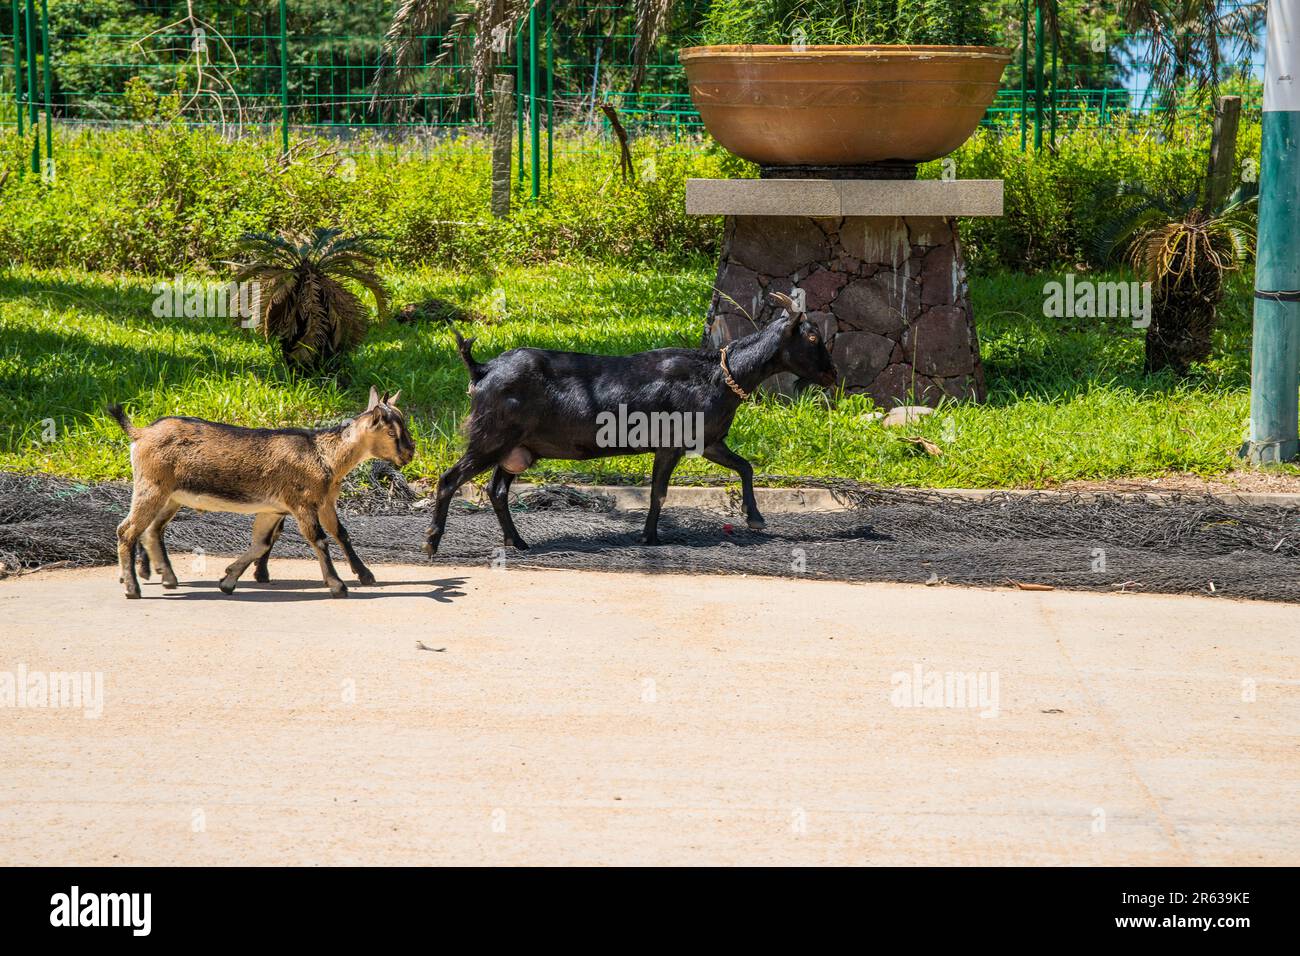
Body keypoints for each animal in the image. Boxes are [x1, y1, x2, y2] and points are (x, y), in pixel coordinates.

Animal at [108, 388, 414, 599]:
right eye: (391, 433)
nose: (409, 453)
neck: (323, 455)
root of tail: (140, 434)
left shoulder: (293, 507)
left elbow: (266, 543)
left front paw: (228, 580)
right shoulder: (302, 503)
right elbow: (320, 540)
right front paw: (338, 586)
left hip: (170, 496)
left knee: (151, 530)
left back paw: (165, 577)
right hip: (152, 487)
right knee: (127, 530)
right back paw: (133, 587)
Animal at [424, 291, 836, 555]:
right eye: (813, 336)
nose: (832, 374)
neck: (718, 375)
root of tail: (481, 369)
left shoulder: (707, 441)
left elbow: (745, 467)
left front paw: (755, 519)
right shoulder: (671, 443)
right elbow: (659, 492)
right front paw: (650, 538)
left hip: (517, 448)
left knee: (497, 491)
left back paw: (518, 542)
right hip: (491, 437)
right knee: (449, 479)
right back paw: (431, 543)